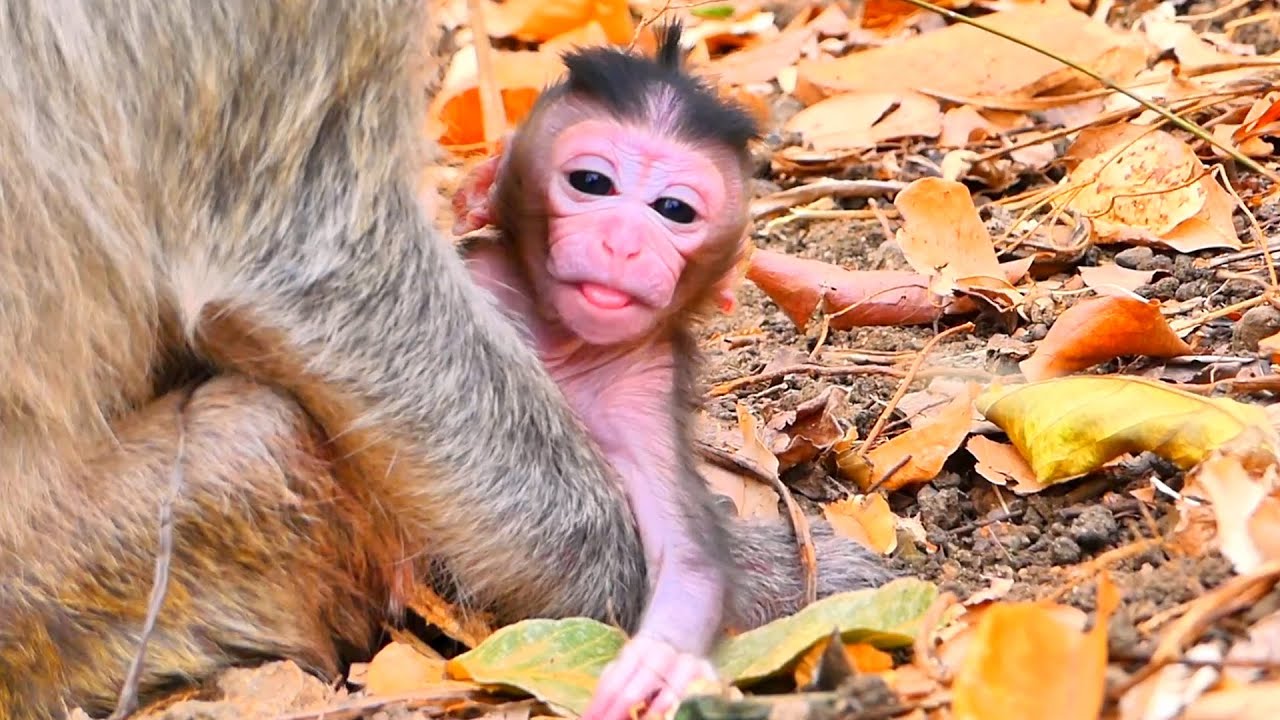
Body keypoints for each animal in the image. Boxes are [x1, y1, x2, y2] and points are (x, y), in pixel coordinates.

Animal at [0, 3, 896, 719]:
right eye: (592, 183)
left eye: (673, 209)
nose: (621, 241)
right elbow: (301, 256)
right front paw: (755, 589)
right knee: (266, 432)